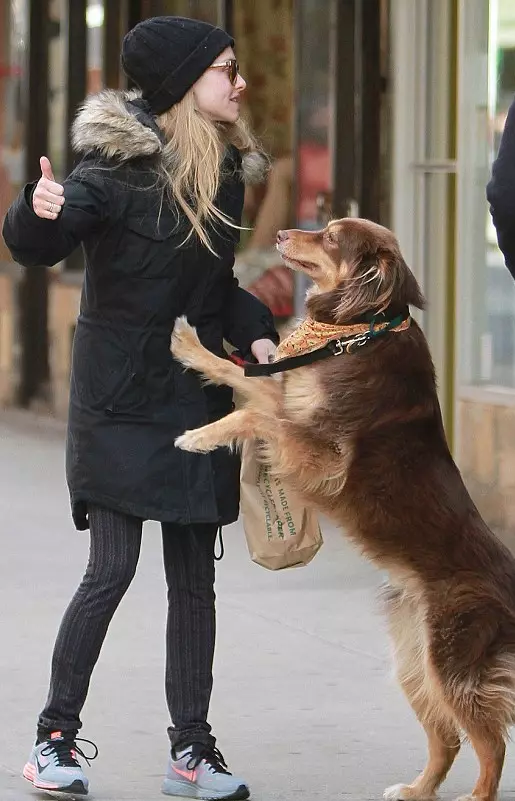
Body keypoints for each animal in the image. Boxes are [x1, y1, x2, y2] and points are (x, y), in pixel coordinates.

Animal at [171, 217, 515, 800]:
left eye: (332, 237)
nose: (281, 233)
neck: (358, 331)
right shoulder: (290, 407)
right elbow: (242, 376)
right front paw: (192, 346)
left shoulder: (320, 457)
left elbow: (252, 417)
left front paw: (199, 436)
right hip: (414, 659)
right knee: (448, 739)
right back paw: (417, 790)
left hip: (452, 663)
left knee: (491, 742)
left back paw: (475, 795)